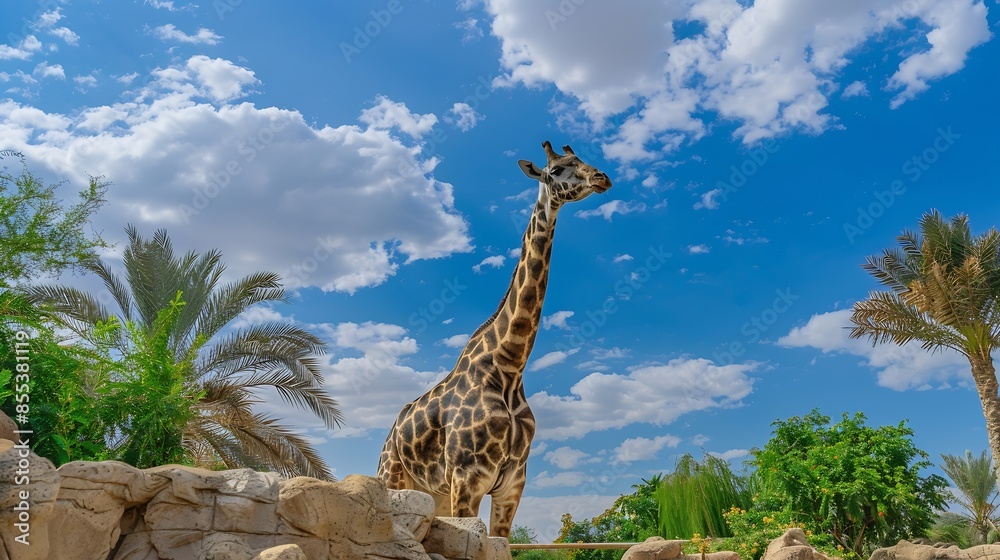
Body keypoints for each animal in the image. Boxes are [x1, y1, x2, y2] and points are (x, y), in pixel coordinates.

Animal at [377, 141, 612, 537]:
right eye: (556, 171)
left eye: (582, 159)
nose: (601, 177)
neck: (510, 364)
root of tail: (393, 430)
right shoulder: (468, 478)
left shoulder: (512, 485)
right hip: (392, 474)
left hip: (435, 492)